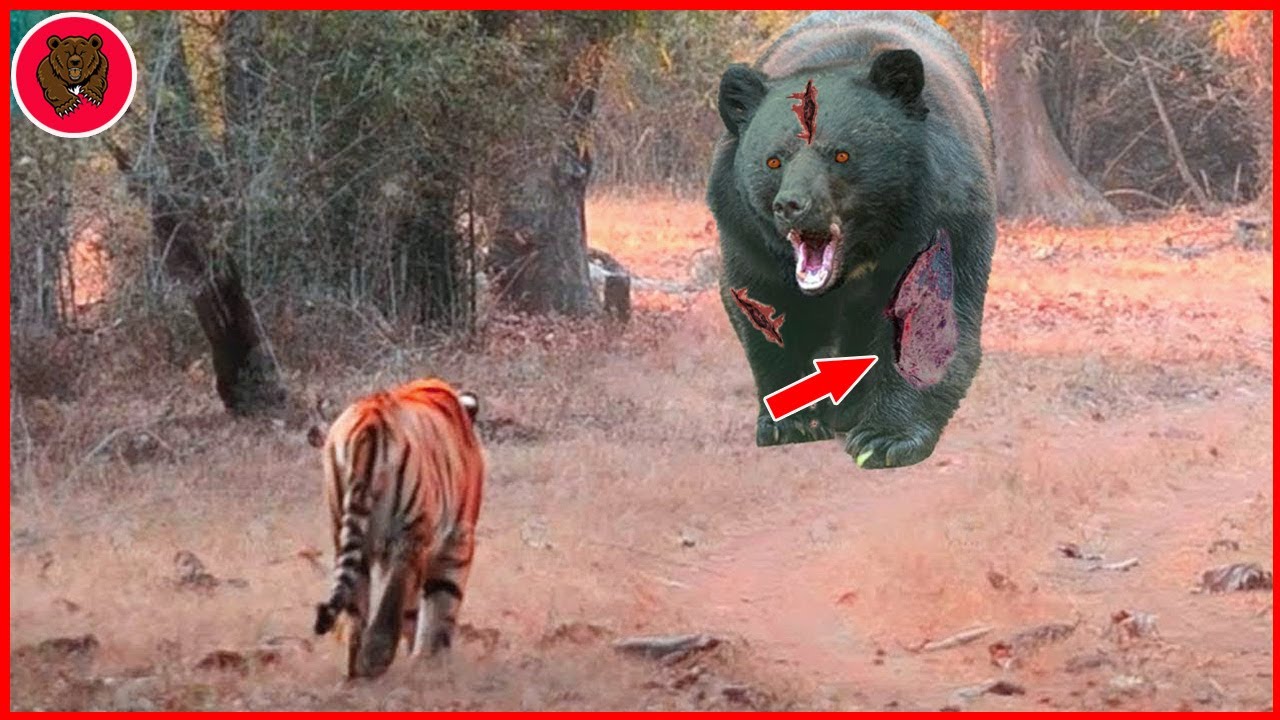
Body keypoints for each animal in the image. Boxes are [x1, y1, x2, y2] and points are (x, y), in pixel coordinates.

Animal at [310, 377, 486, 679]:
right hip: (410, 535)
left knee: (357, 608)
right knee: (392, 603)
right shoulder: (456, 543)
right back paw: (376, 660)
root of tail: (370, 418)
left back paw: (356, 670)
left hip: (345, 528)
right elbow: (442, 602)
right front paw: (434, 661)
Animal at [706, 11, 996, 470]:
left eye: (841, 155)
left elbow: (931, 313)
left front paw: (885, 439)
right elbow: (762, 302)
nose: (791, 205)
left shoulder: (947, 210)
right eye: (773, 160)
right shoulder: (744, 231)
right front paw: (791, 423)